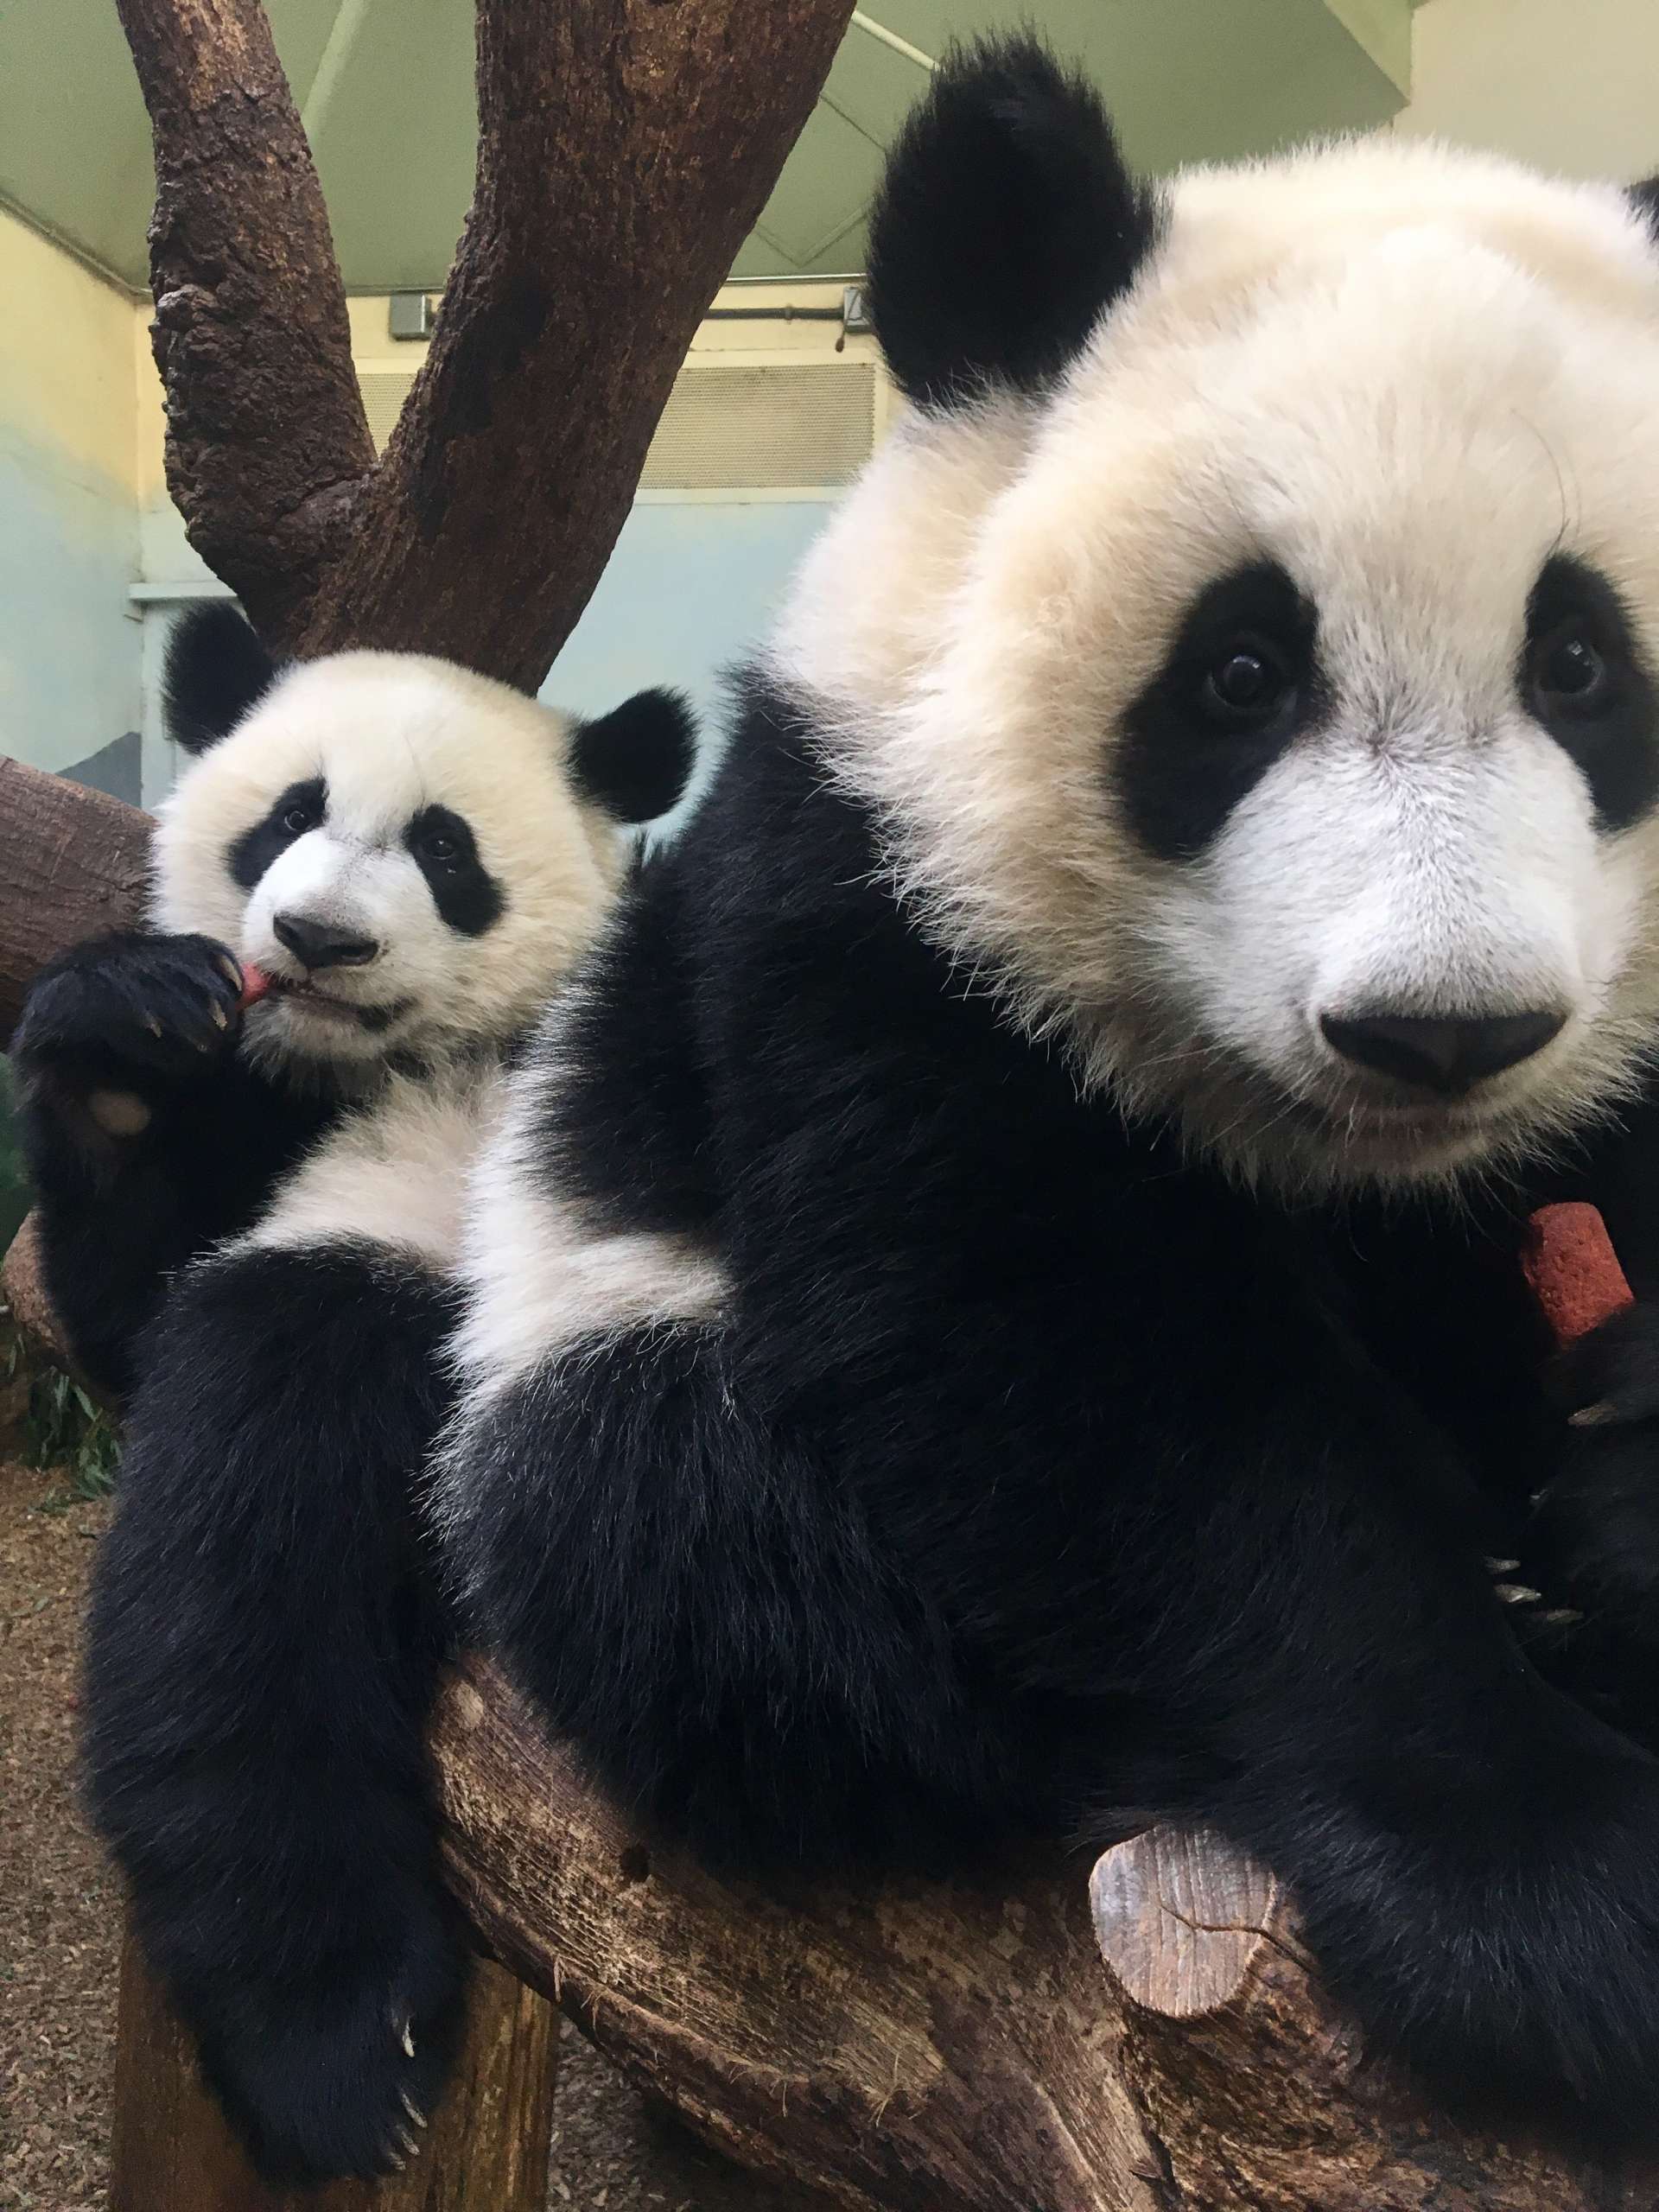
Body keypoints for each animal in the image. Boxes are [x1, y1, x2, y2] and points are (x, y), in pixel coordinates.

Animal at [11, 604, 693, 2183]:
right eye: (286, 818)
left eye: (447, 850)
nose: (318, 940)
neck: (376, 1074)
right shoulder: (249, 1133)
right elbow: (130, 1309)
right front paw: (123, 1034)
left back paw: (337, 2047)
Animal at [433, 41, 1659, 2147]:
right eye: (1240, 674)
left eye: (1584, 662)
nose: (1444, 1033)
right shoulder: (880, 906)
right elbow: (1091, 1385)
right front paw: (1547, 1891)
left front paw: (1617, 1490)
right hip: (581, 1337)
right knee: (710, 1560)